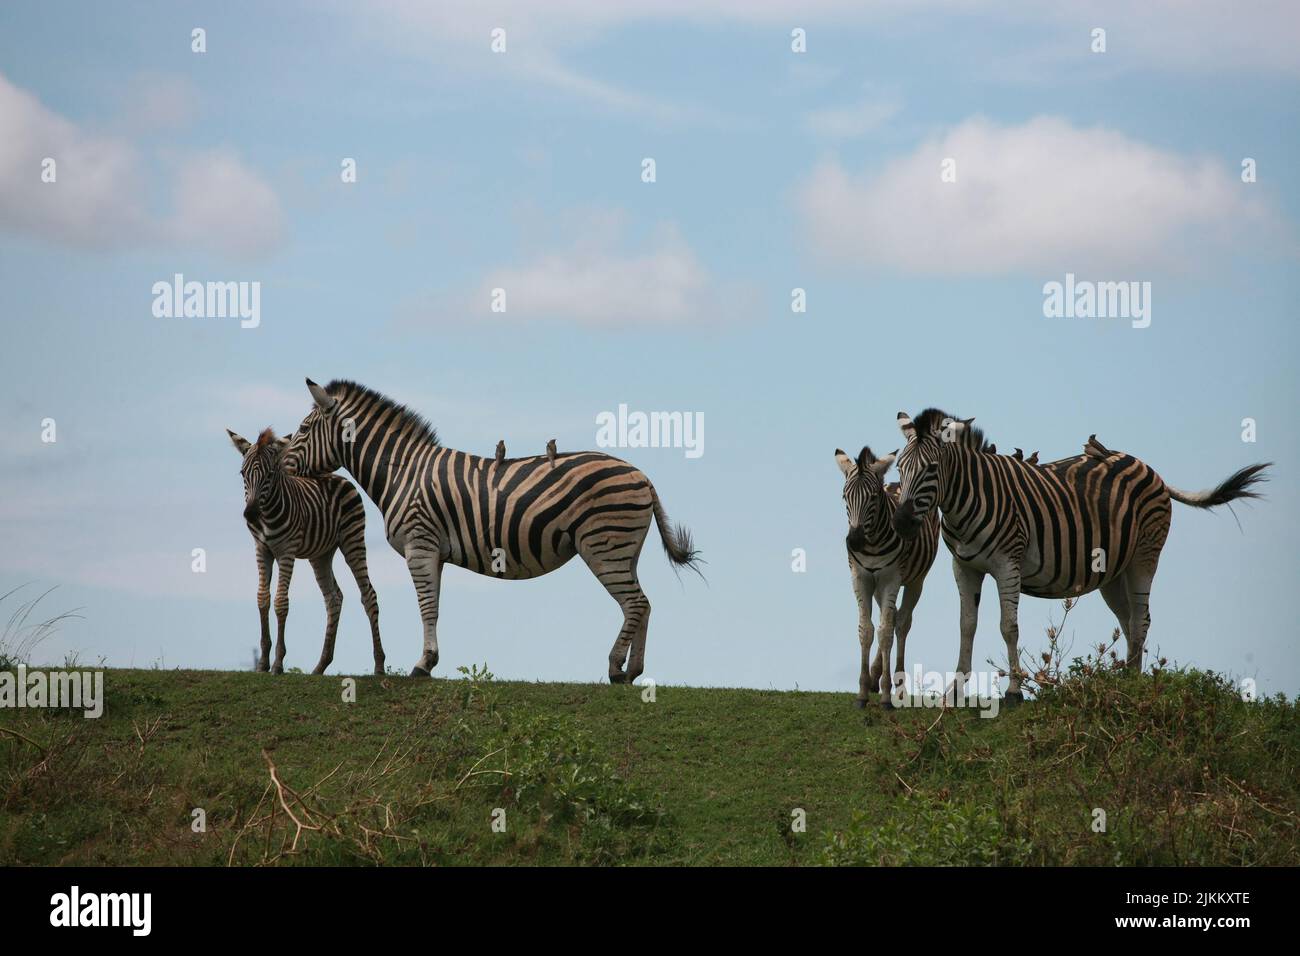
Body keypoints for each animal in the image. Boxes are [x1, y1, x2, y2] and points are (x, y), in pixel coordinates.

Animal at [227, 426, 385, 676]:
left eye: (269, 475)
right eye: (243, 474)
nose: (250, 514)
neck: (268, 515)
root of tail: (339, 477)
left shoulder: (286, 551)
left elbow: (281, 602)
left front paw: (278, 663)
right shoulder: (262, 550)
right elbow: (262, 598)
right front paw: (262, 663)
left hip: (352, 539)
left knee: (368, 594)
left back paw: (379, 665)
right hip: (321, 554)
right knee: (333, 598)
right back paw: (321, 665)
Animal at [281, 378, 702, 682]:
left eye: (302, 428)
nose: (281, 465)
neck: (404, 471)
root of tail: (643, 476)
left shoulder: (420, 545)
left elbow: (426, 607)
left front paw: (422, 664)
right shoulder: (435, 553)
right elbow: (434, 607)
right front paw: (430, 661)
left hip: (603, 546)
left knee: (635, 604)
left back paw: (616, 669)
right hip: (624, 551)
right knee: (643, 604)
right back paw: (633, 672)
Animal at [836, 446, 939, 707]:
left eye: (873, 497)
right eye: (845, 497)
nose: (854, 541)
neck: (872, 542)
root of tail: (895, 482)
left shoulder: (891, 579)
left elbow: (884, 632)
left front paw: (885, 696)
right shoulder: (861, 578)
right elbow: (866, 630)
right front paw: (863, 691)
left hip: (915, 581)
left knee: (901, 624)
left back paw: (899, 689)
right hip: (878, 587)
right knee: (891, 619)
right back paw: (877, 676)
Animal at [891, 409, 1270, 702]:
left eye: (931, 469)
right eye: (899, 469)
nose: (901, 522)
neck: (966, 499)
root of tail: (1147, 466)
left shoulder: (1007, 563)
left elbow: (1008, 626)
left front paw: (1013, 693)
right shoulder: (964, 566)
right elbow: (966, 625)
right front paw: (954, 692)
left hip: (1145, 556)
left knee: (1141, 619)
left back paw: (1133, 686)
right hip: (1113, 572)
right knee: (1128, 620)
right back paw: (1127, 681)